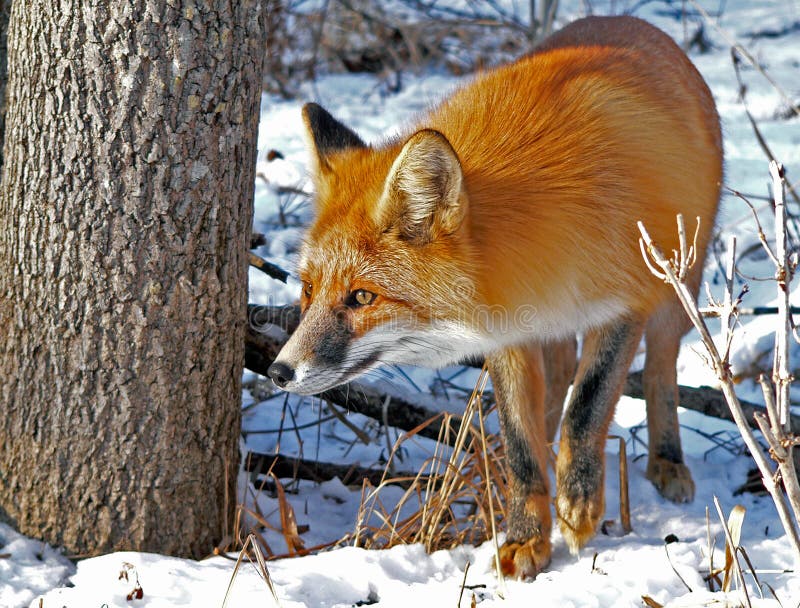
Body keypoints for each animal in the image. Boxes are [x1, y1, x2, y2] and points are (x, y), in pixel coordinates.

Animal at [267, 15, 722, 578]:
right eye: (308, 289)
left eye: (361, 297)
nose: (278, 371)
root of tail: (632, 22)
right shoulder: (509, 331)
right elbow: (521, 442)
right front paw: (527, 536)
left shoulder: (624, 306)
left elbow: (587, 407)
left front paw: (578, 507)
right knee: (553, 388)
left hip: (676, 289)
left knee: (660, 367)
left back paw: (667, 460)